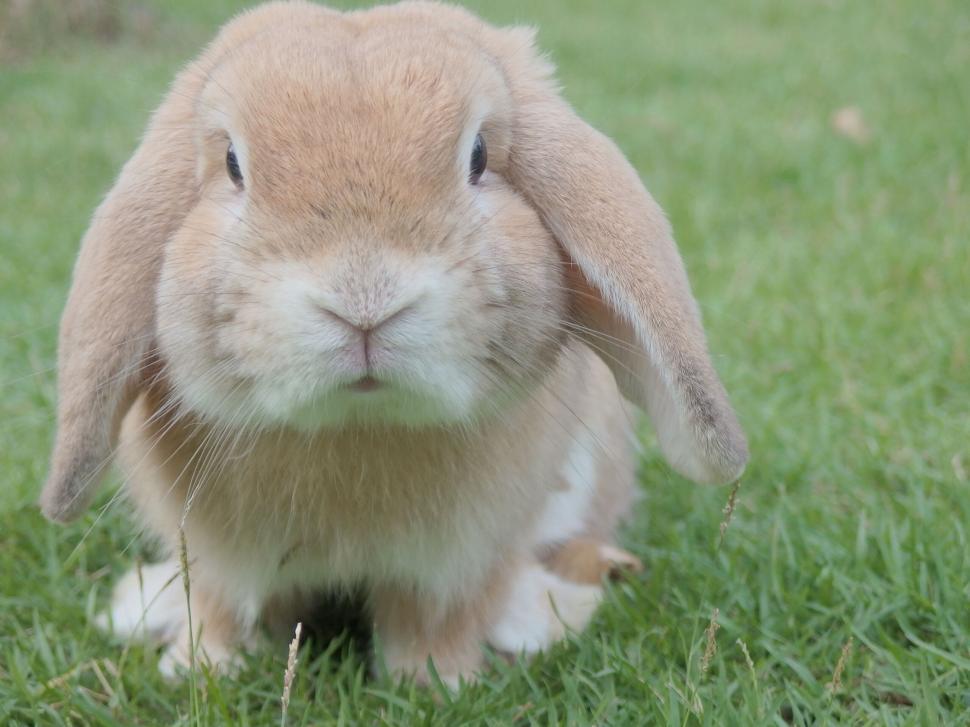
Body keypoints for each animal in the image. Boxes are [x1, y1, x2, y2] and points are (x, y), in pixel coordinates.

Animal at [40, 0, 748, 685]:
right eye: (234, 165)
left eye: (479, 156)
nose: (364, 300)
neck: (358, 426)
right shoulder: (218, 559)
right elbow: (222, 609)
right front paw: (199, 670)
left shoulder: (457, 563)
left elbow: (433, 621)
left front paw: (436, 683)